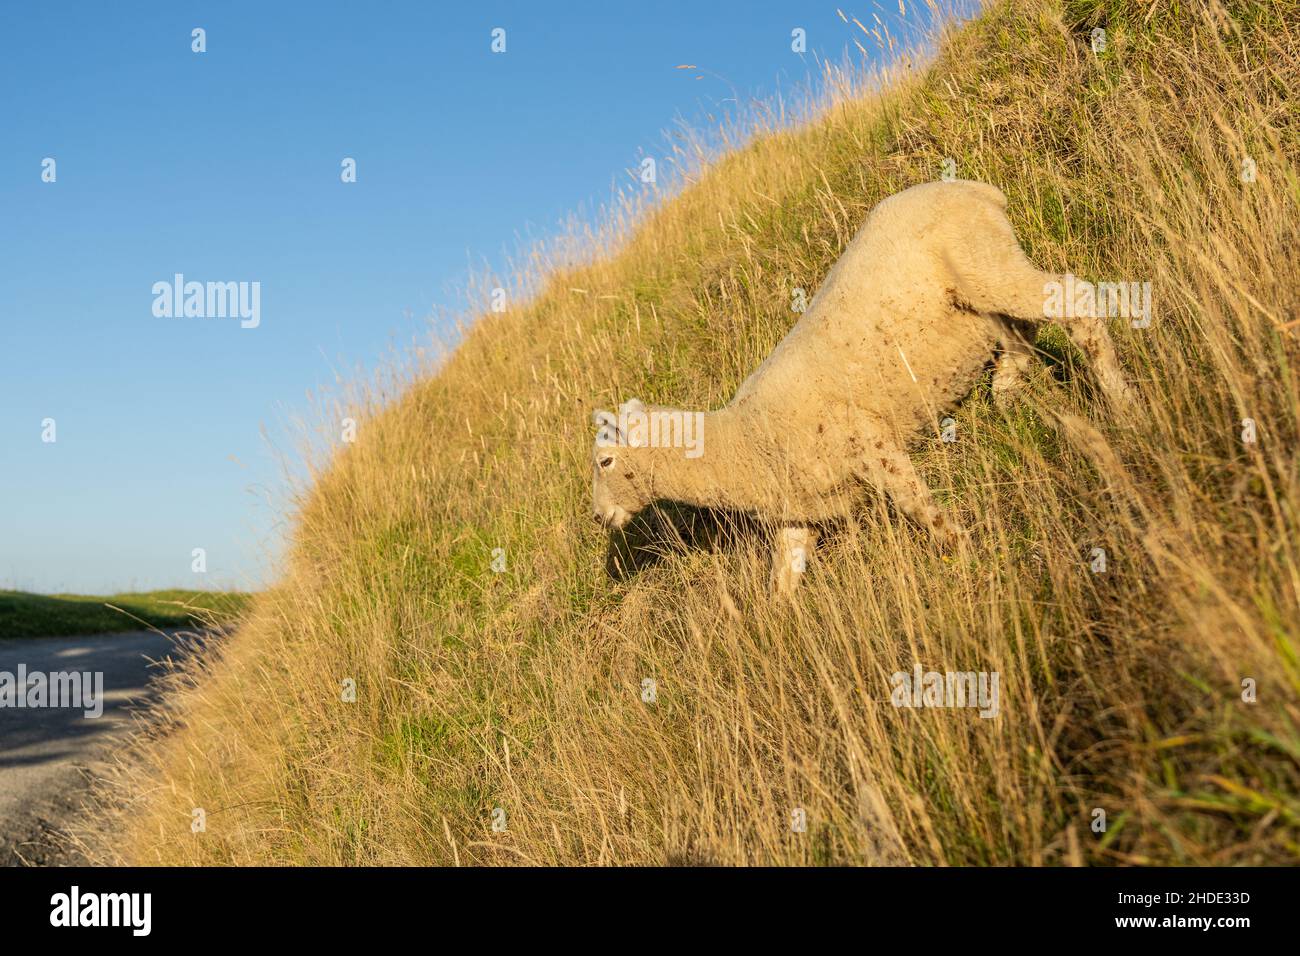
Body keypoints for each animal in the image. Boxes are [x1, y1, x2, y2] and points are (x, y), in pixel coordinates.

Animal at [590, 180, 1133, 596]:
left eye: (605, 461)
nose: (599, 518)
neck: (743, 441)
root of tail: (976, 190)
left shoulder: (867, 441)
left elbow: (918, 507)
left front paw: (965, 552)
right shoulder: (796, 516)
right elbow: (782, 582)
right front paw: (780, 636)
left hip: (984, 261)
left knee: (1076, 301)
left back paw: (1122, 403)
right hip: (980, 293)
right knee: (1022, 333)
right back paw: (1009, 395)